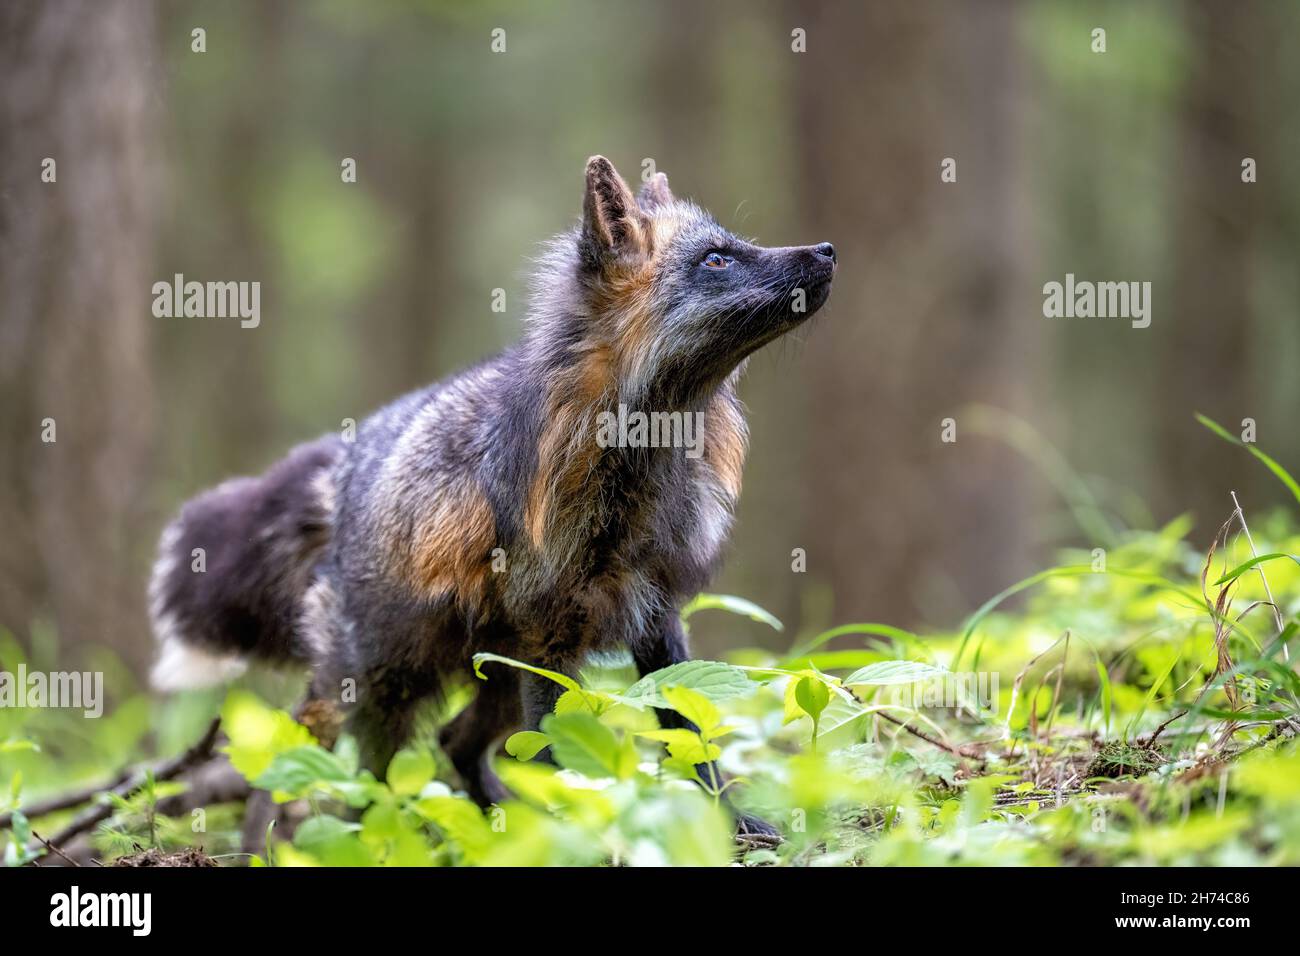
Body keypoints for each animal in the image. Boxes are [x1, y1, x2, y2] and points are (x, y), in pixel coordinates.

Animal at [148, 156, 836, 836]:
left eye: (738, 243)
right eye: (717, 259)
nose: (827, 250)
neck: (631, 477)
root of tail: (342, 462)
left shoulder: (655, 613)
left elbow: (690, 736)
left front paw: (731, 822)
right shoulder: (552, 635)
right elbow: (560, 753)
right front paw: (576, 832)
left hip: (492, 672)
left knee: (453, 743)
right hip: (382, 682)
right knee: (325, 772)